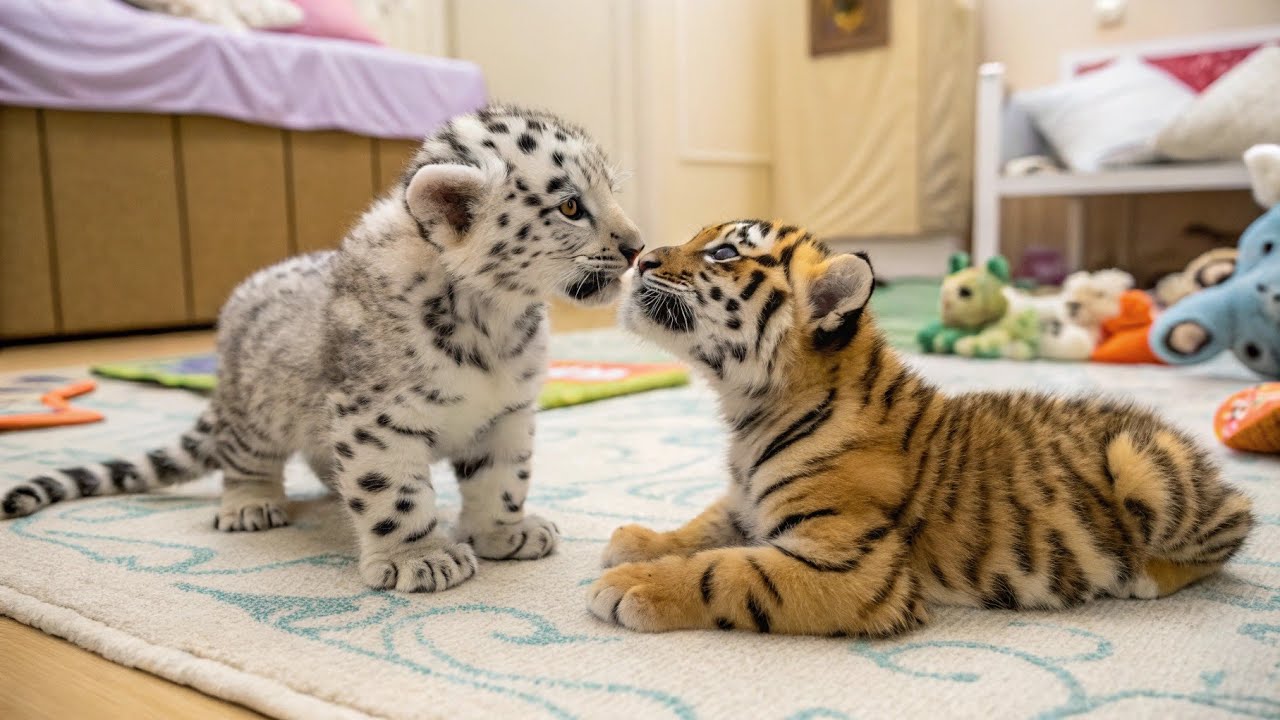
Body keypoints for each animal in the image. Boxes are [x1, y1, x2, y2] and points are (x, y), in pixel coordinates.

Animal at [3, 105, 643, 593]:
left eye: (613, 191)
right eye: (570, 206)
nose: (636, 245)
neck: (496, 322)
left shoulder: (508, 412)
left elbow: (503, 476)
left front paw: (504, 532)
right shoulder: (378, 417)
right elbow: (394, 492)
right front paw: (420, 558)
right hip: (255, 417)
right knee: (244, 461)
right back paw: (250, 505)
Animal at [587, 220, 1254, 636]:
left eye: (723, 254)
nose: (639, 258)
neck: (749, 410)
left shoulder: (853, 566)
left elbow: (726, 569)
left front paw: (630, 584)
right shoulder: (746, 498)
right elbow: (707, 526)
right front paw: (640, 540)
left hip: (1142, 468)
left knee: (1224, 540)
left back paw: (1143, 576)